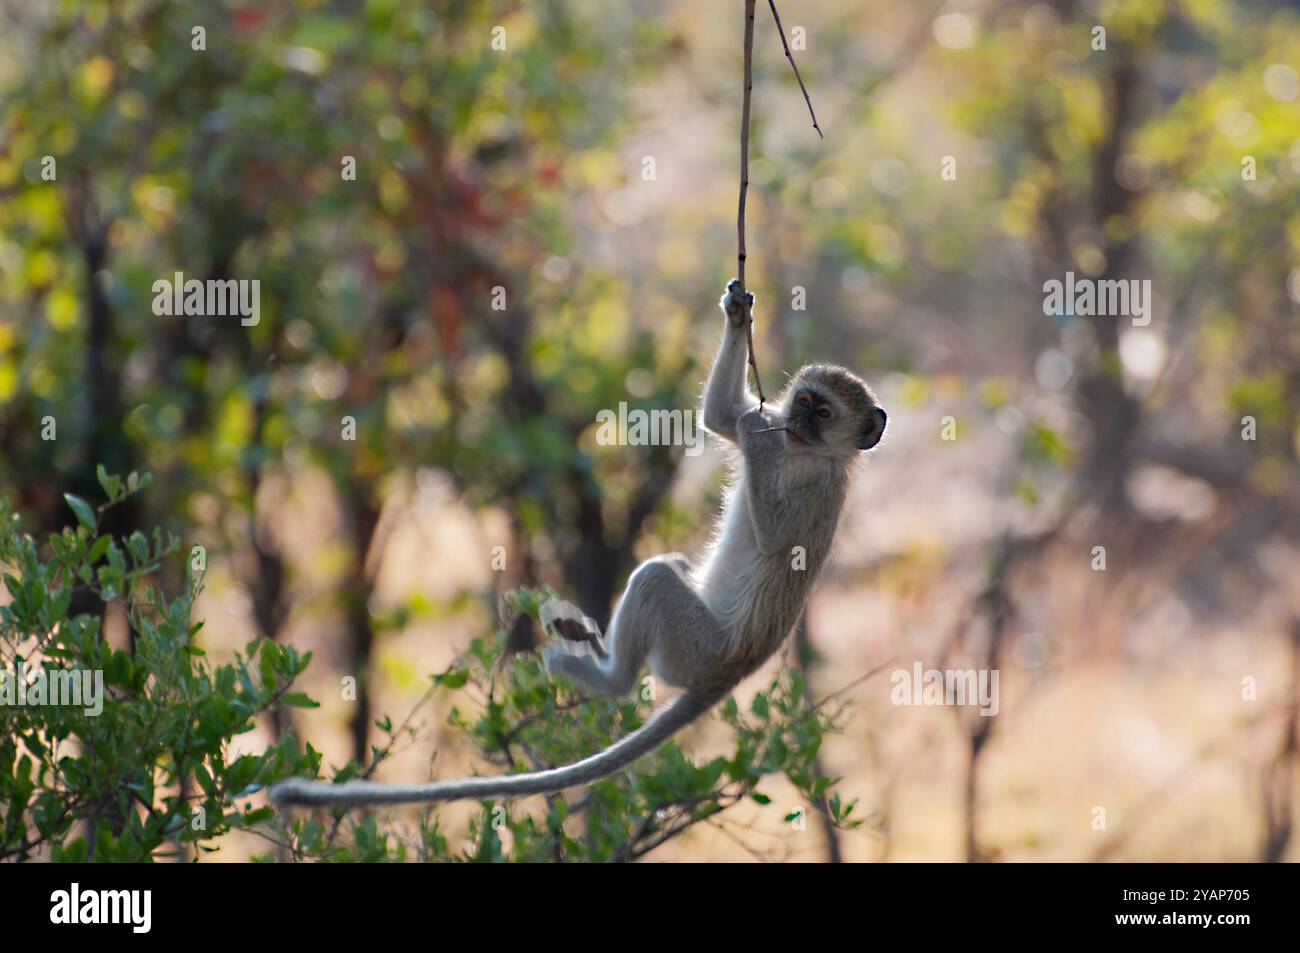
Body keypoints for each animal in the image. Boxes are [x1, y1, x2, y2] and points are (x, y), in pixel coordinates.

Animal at [269, 279, 886, 809]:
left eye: (823, 412)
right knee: (666, 566)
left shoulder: (819, 489)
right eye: (802, 402)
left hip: (694, 647)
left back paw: (608, 678)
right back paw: (583, 636)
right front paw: (737, 310)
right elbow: (719, 418)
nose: (796, 419)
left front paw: (757, 435)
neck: (804, 451)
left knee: (655, 585)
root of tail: (731, 672)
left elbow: (780, 537)